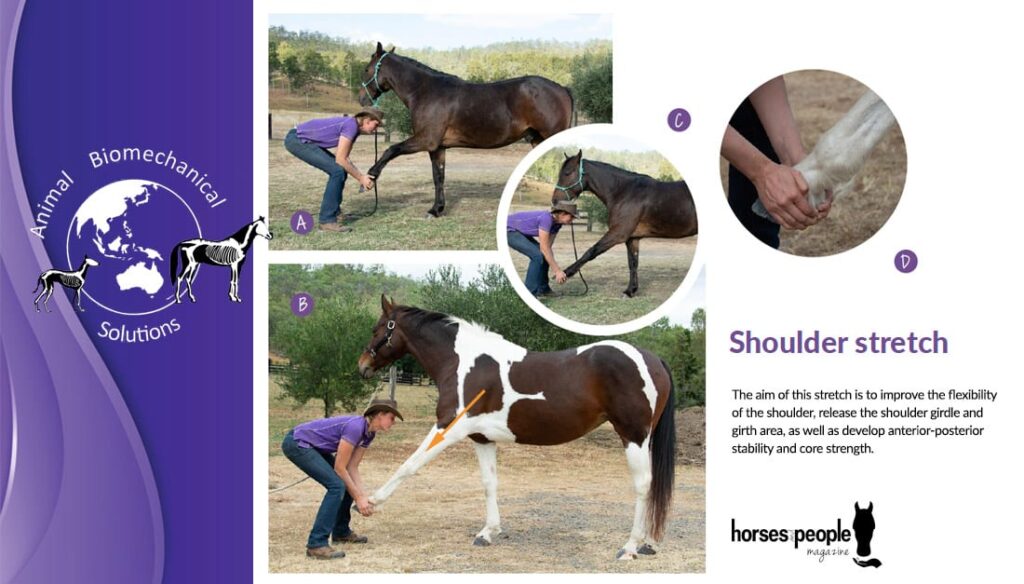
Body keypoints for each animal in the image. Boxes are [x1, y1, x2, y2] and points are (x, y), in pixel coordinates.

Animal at [356, 296, 677, 560]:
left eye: (377, 328)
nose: (363, 366)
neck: (463, 363)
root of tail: (652, 359)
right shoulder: (482, 438)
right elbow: (489, 483)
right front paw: (488, 532)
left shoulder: (448, 429)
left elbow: (409, 465)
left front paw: (369, 502)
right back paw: (649, 544)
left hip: (634, 436)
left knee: (643, 484)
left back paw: (630, 547)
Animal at [359, 42, 574, 218]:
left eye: (367, 69)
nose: (362, 99)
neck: (425, 92)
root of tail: (562, 88)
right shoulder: (438, 147)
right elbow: (438, 177)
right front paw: (436, 209)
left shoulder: (426, 140)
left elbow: (391, 150)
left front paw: (369, 178)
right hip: (537, 139)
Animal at [551, 151, 698, 297]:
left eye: (567, 173)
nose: (554, 200)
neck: (625, 193)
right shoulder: (632, 238)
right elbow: (633, 263)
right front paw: (630, 290)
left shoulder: (618, 234)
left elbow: (591, 251)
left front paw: (565, 273)